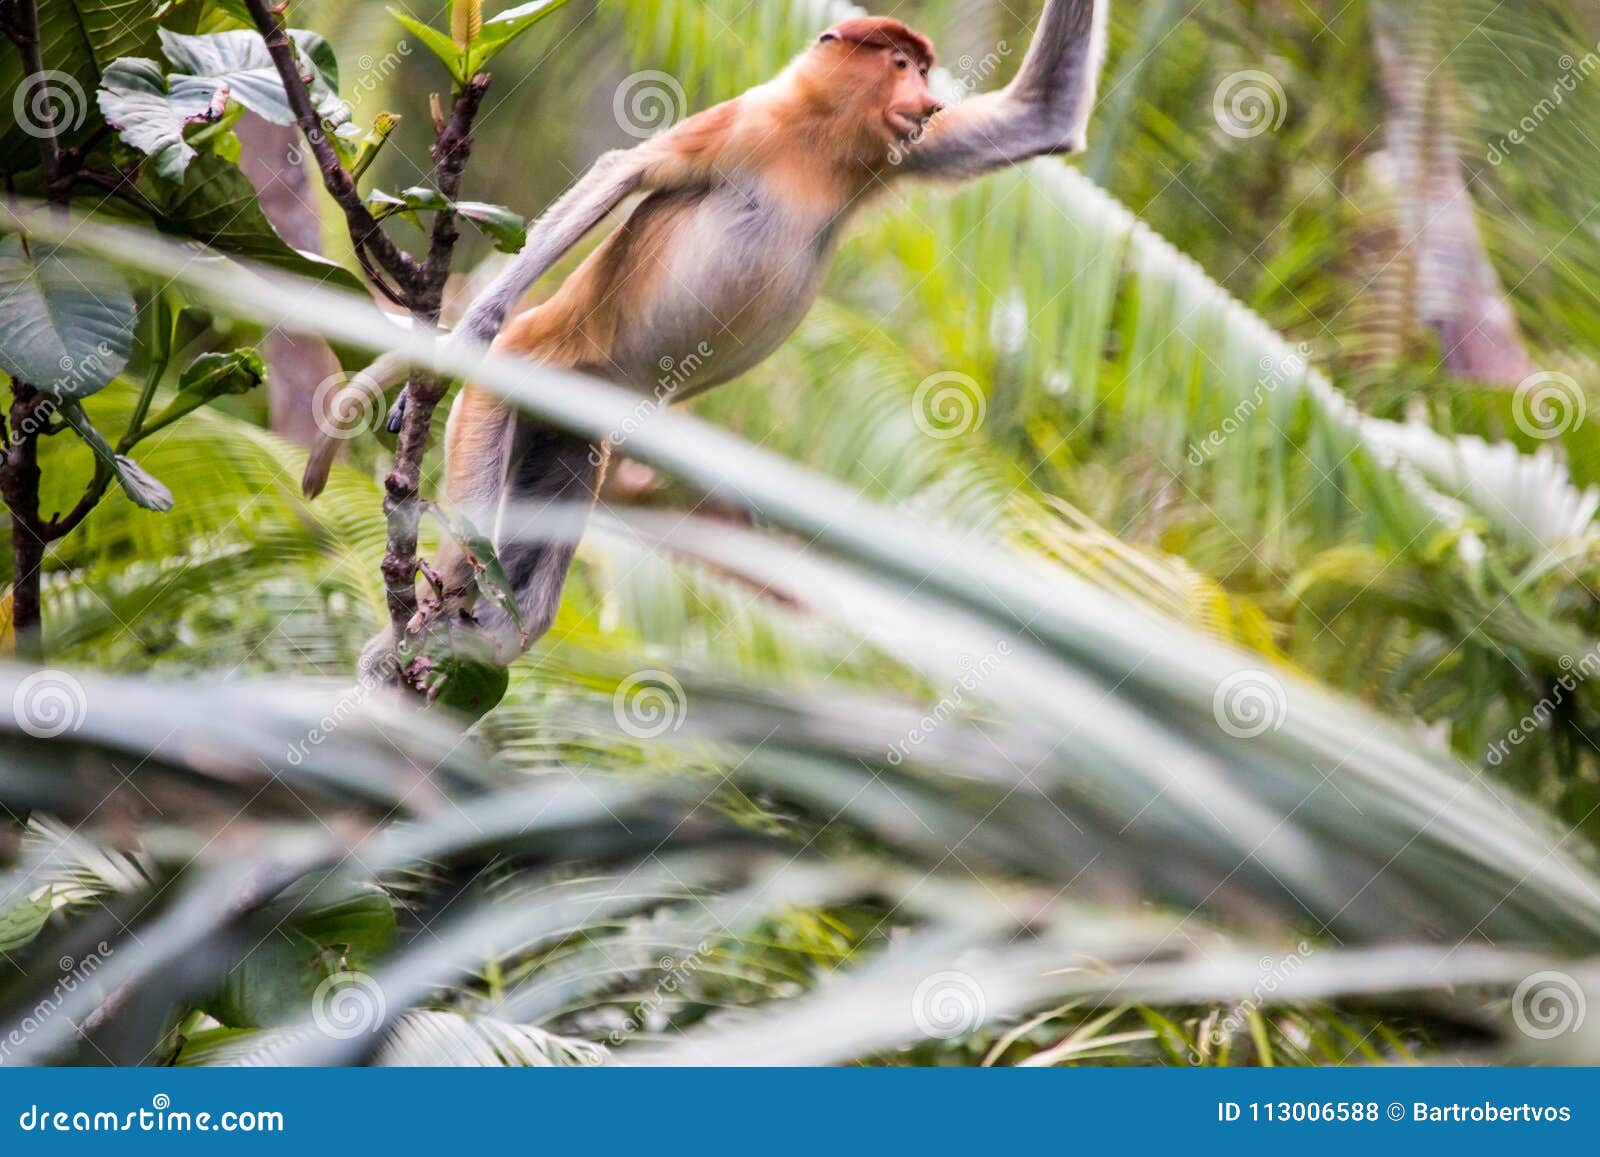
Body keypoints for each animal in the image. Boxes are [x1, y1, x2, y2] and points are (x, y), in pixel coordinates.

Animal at [301, 0, 1107, 666]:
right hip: (515, 379)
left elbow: (1042, 117)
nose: (930, 100)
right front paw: (472, 328)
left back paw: (496, 631)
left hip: (567, 426)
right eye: (900, 64)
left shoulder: (885, 154)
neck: (819, 142)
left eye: (923, 70)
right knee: (473, 527)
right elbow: (625, 168)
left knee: (542, 534)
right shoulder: (748, 123)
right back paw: (414, 634)